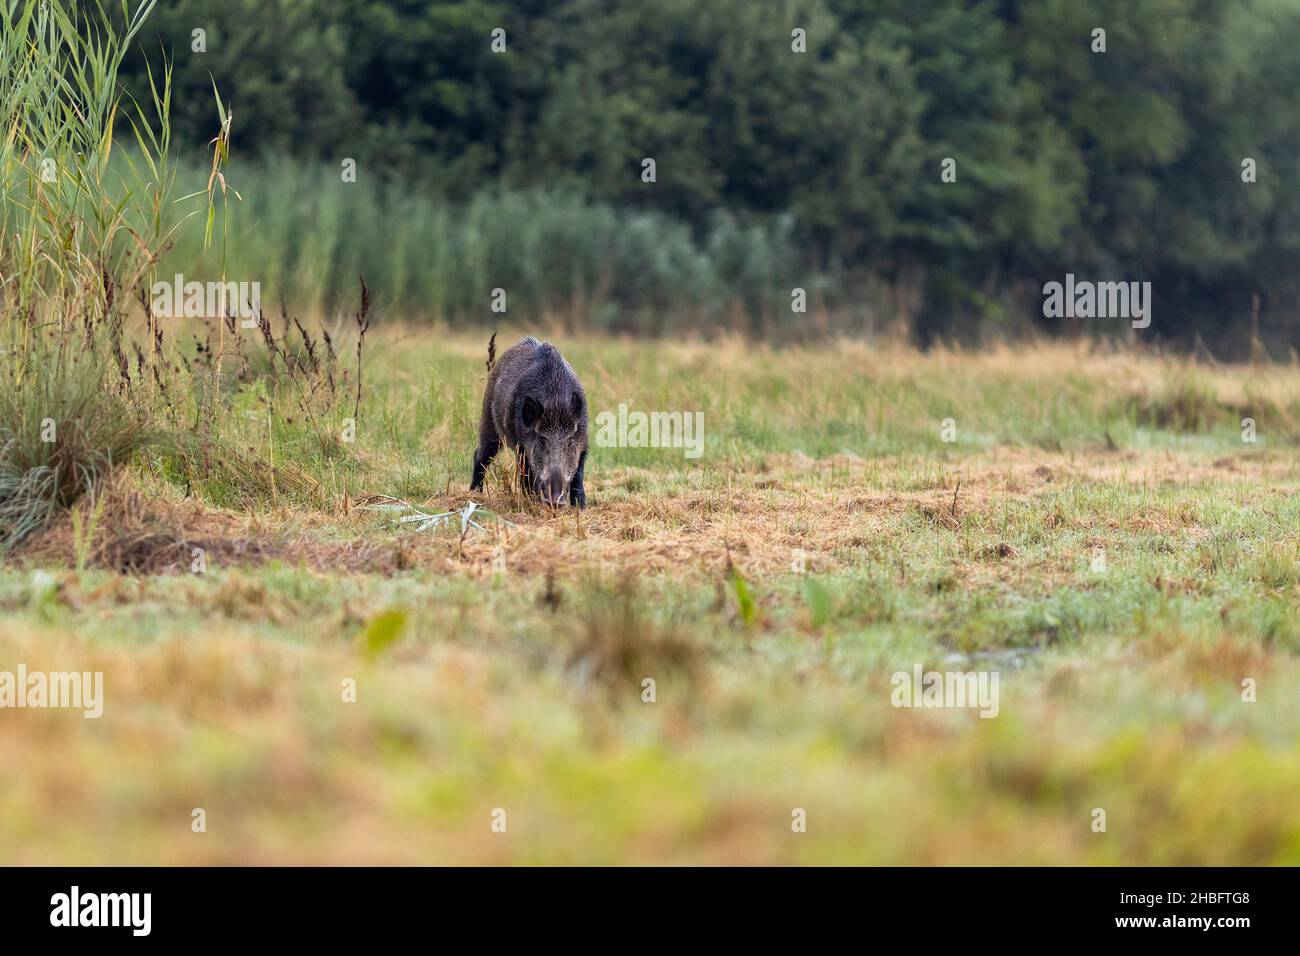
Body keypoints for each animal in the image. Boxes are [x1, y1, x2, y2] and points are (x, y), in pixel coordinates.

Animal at [470, 336, 588, 507]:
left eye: (570, 441)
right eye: (542, 440)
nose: (555, 500)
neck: (555, 402)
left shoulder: (584, 443)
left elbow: (578, 474)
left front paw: (580, 506)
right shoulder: (521, 445)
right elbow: (526, 473)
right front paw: (532, 500)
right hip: (488, 420)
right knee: (480, 456)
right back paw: (474, 494)